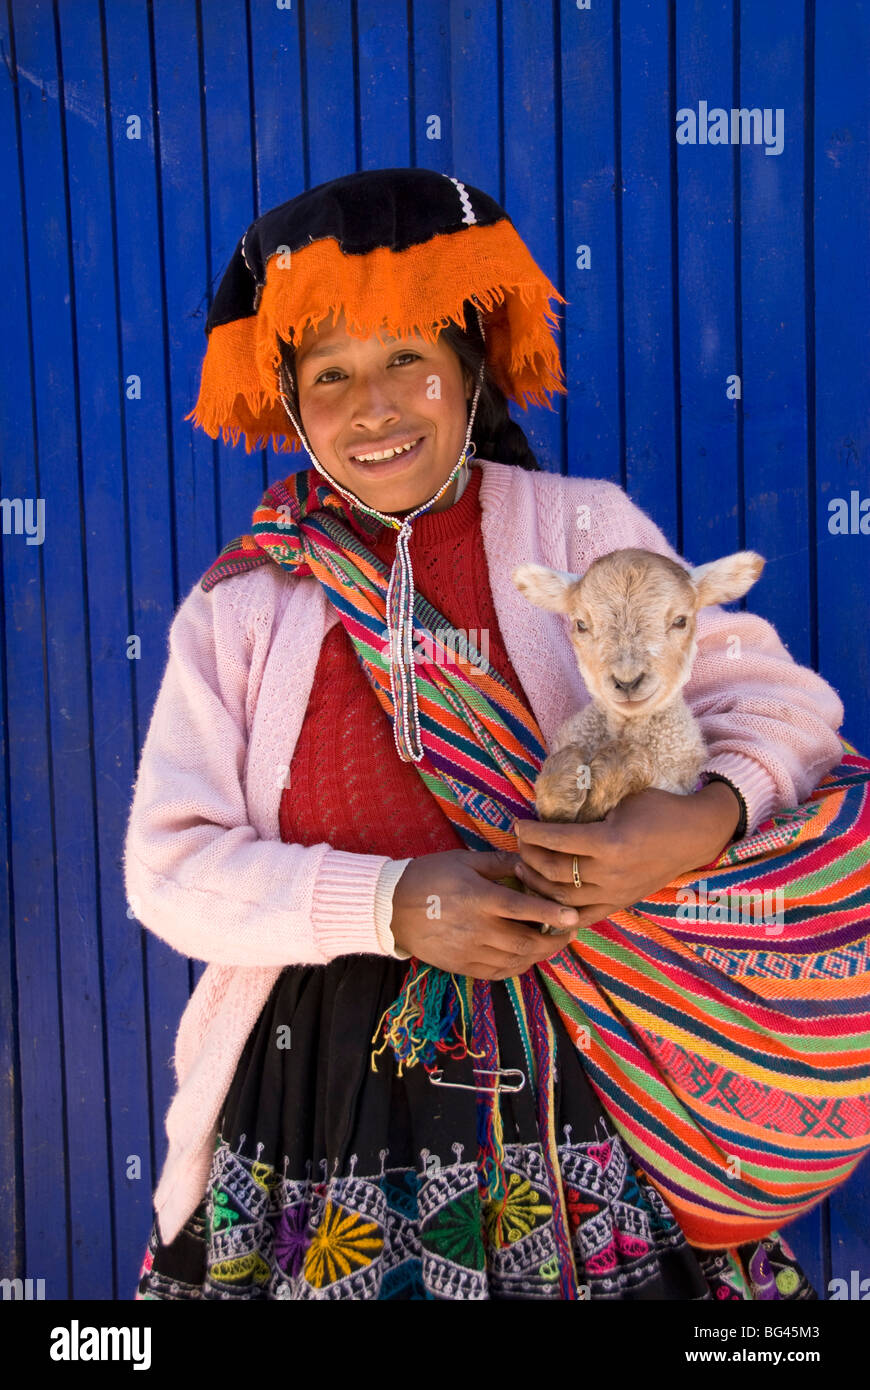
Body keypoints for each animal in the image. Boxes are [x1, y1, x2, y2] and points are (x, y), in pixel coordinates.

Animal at [511, 547, 765, 826]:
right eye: (581, 624)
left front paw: (605, 781)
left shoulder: (678, 781)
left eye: (680, 621)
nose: (627, 680)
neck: (628, 728)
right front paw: (567, 778)